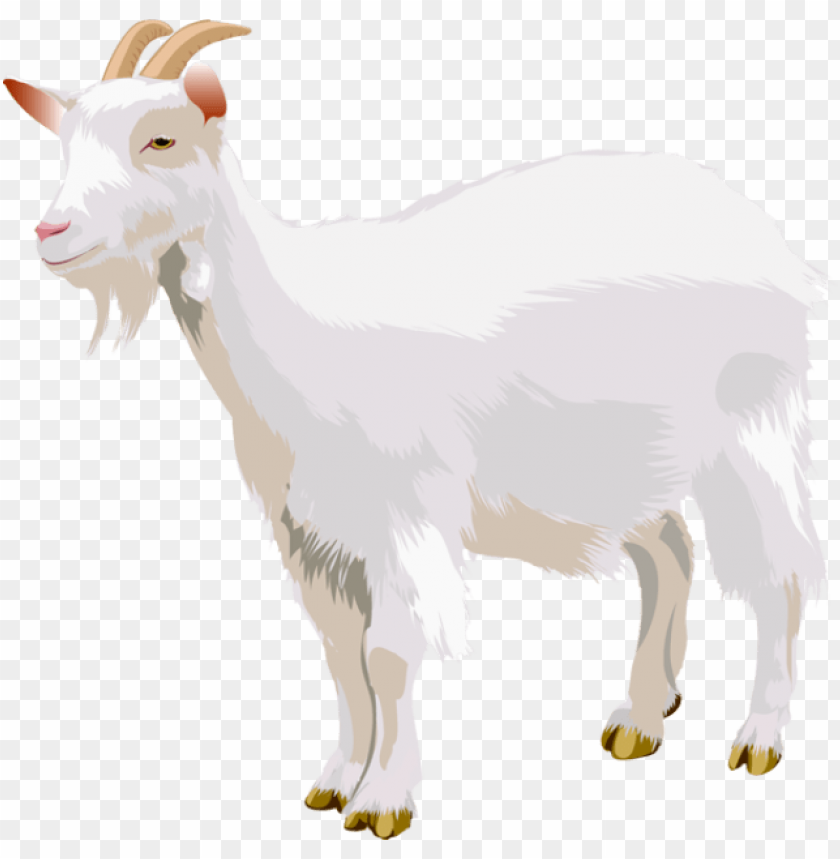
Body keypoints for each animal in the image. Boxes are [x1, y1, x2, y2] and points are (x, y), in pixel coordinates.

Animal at [4, 19, 827, 840]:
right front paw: (336, 781)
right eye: (65, 141)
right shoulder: (307, 531)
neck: (294, 326)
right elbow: (342, 655)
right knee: (669, 550)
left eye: (162, 138)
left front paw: (383, 801)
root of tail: (760, 228)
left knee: (781, 567)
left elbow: (389, 656)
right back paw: (644, 716)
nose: (51, 230)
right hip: (617, 458)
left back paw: (759, 736)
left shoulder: (402, 513)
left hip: (754, 425)